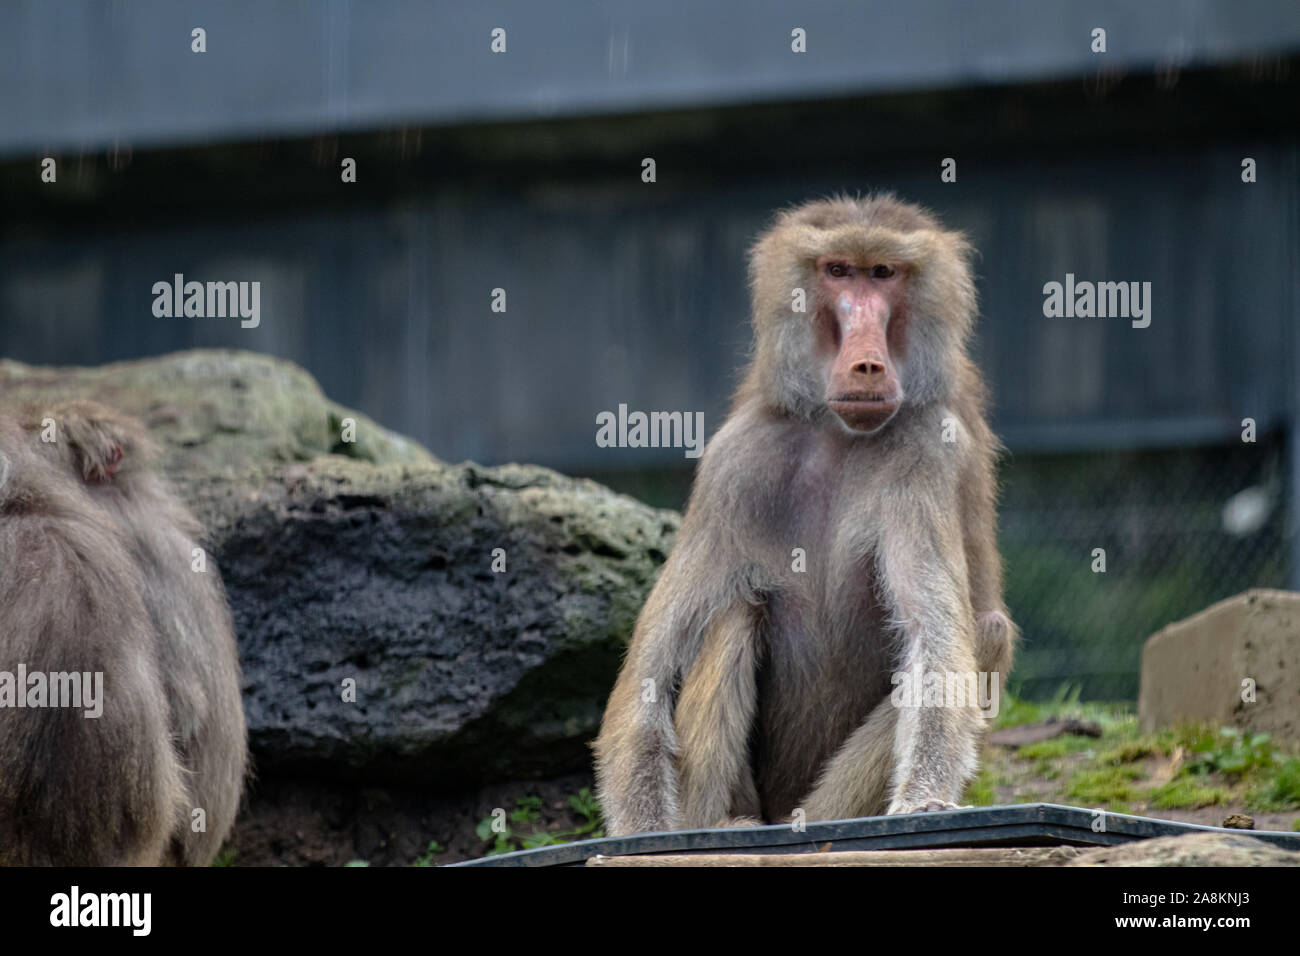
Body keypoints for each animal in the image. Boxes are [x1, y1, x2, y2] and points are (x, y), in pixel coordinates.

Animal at [594, 195, 1017, 835]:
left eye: (884, 273)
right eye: (837, 271)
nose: (866, 365)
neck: (837, 434)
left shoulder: (928, 448)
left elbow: (932, 638)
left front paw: (922, 801)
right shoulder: (734, 463)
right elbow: (650, 672)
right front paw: (645, 835)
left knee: (986, 632)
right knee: (734, 609)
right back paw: (722, 826)